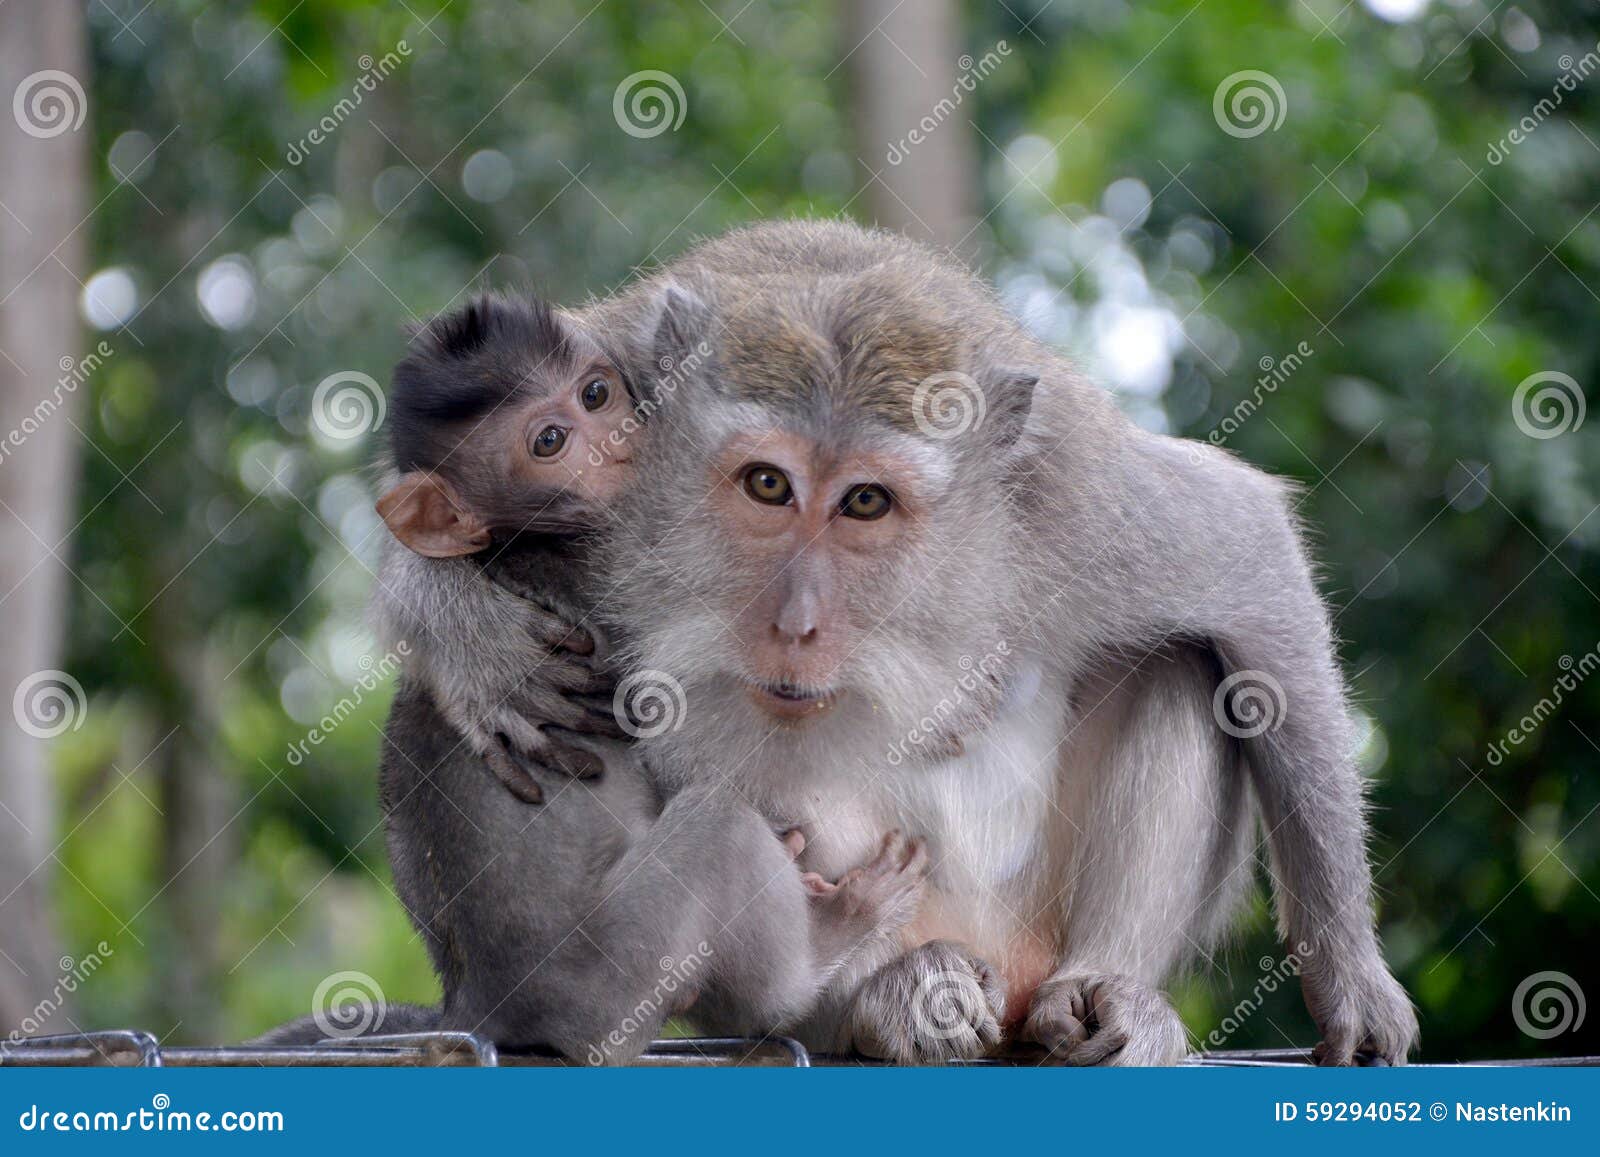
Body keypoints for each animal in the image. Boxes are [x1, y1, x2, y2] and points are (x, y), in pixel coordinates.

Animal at [254, 293, 931, 1063]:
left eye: (596, 394)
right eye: (550, 441)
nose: (621, 439)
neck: (527, 538)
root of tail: (484, 1004)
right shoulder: (620, 579)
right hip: (614, 979)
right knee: (719, 828)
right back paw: (832, 937)